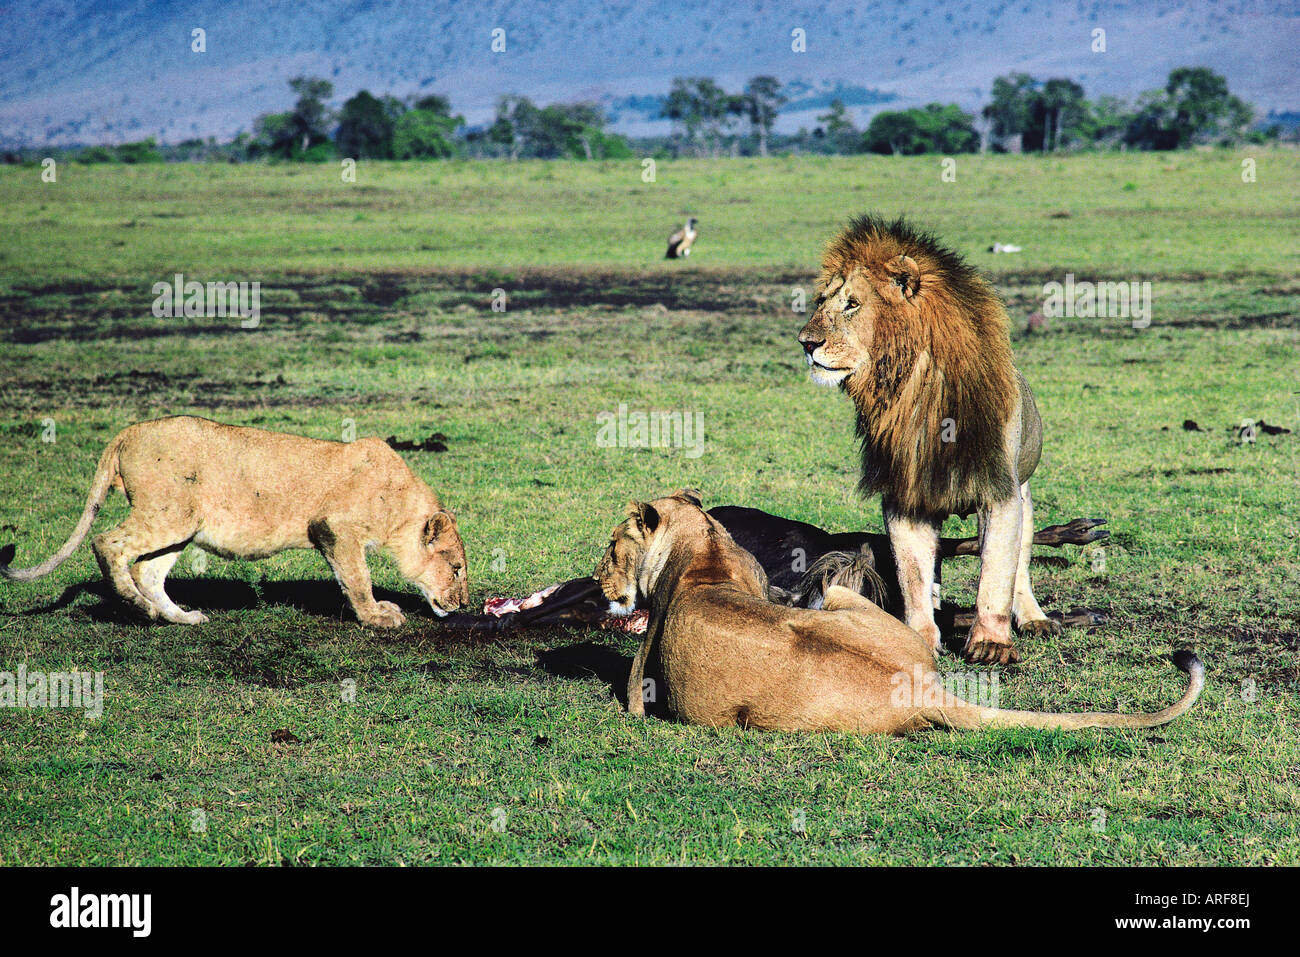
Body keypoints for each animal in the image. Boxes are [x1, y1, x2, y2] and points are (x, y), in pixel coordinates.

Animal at [0, 416, 468, 627]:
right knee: (107, 543)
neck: (402, 508)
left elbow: (349, 577)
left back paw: (180, 617)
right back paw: (139, 607)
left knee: (147, 571)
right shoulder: (333, 528)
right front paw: (376, 616)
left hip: (181, 526)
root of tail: (129, 430)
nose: (463, 604)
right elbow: (358, 578)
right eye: (457, 568)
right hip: (168, 514)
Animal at [797, 215, 1057, 664]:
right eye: (821, 302)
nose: (806, 344)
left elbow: (997, 572)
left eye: (852, 304)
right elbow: (912, 573)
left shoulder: (999, 490)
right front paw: (919, 636)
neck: (916, 392)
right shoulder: (906, 492)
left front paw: (991, 643)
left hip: (1023, 489)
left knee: (1020, 564)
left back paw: (1032, 617)